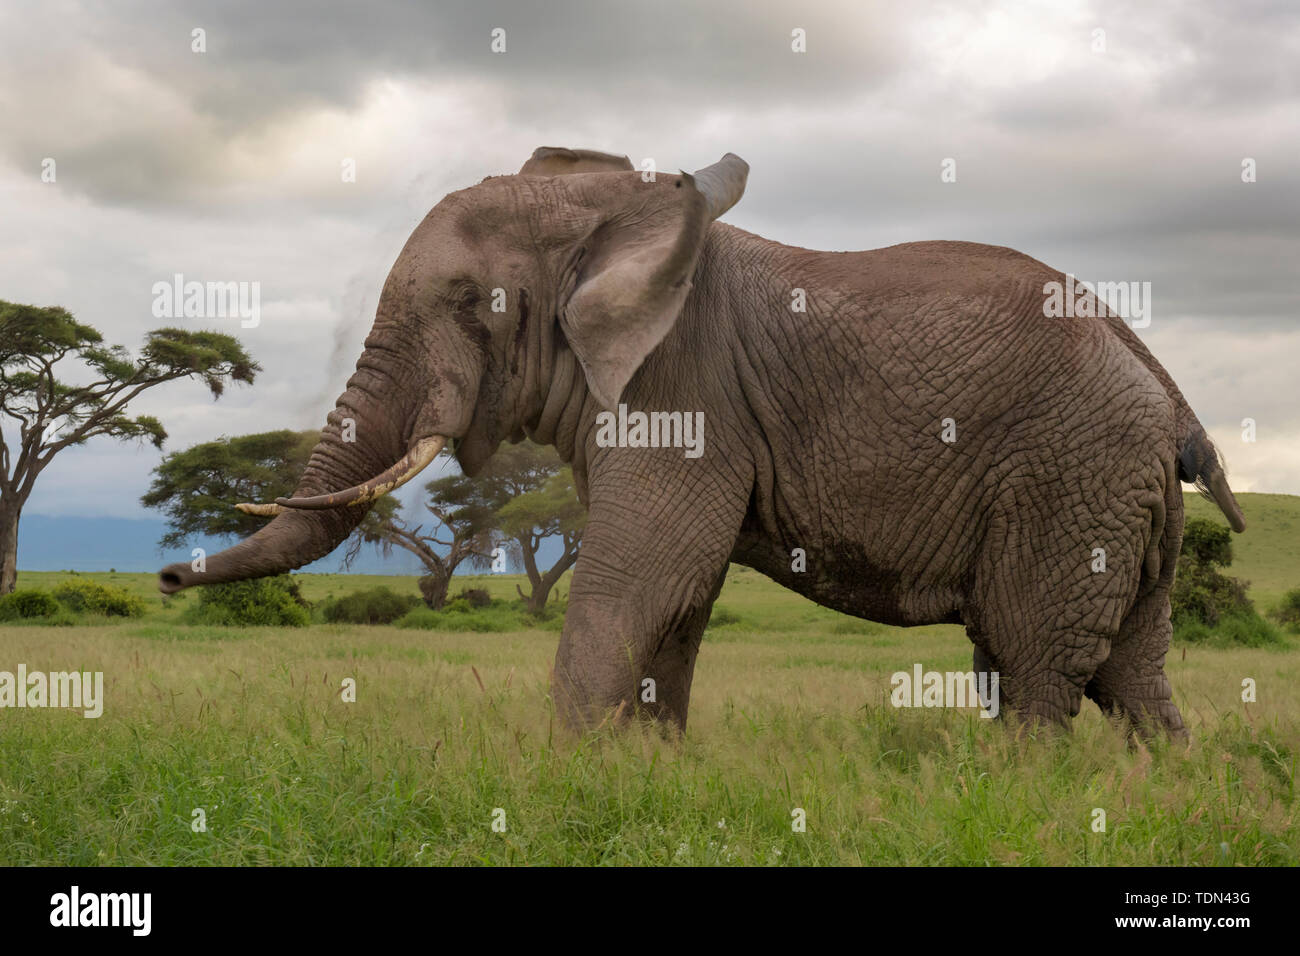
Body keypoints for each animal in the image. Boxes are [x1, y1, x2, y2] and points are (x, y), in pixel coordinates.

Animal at [159, 145, 1246, 738]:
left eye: (470, 301)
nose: (168, 576)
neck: (614, 214)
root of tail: (1165, 389)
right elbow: (676, 602)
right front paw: (649, 770)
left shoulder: (682, 388)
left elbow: (638, 580)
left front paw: (563, 782)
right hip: (1114, 493)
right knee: (1131, 675)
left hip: (1071, 478)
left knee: (1031, 666)